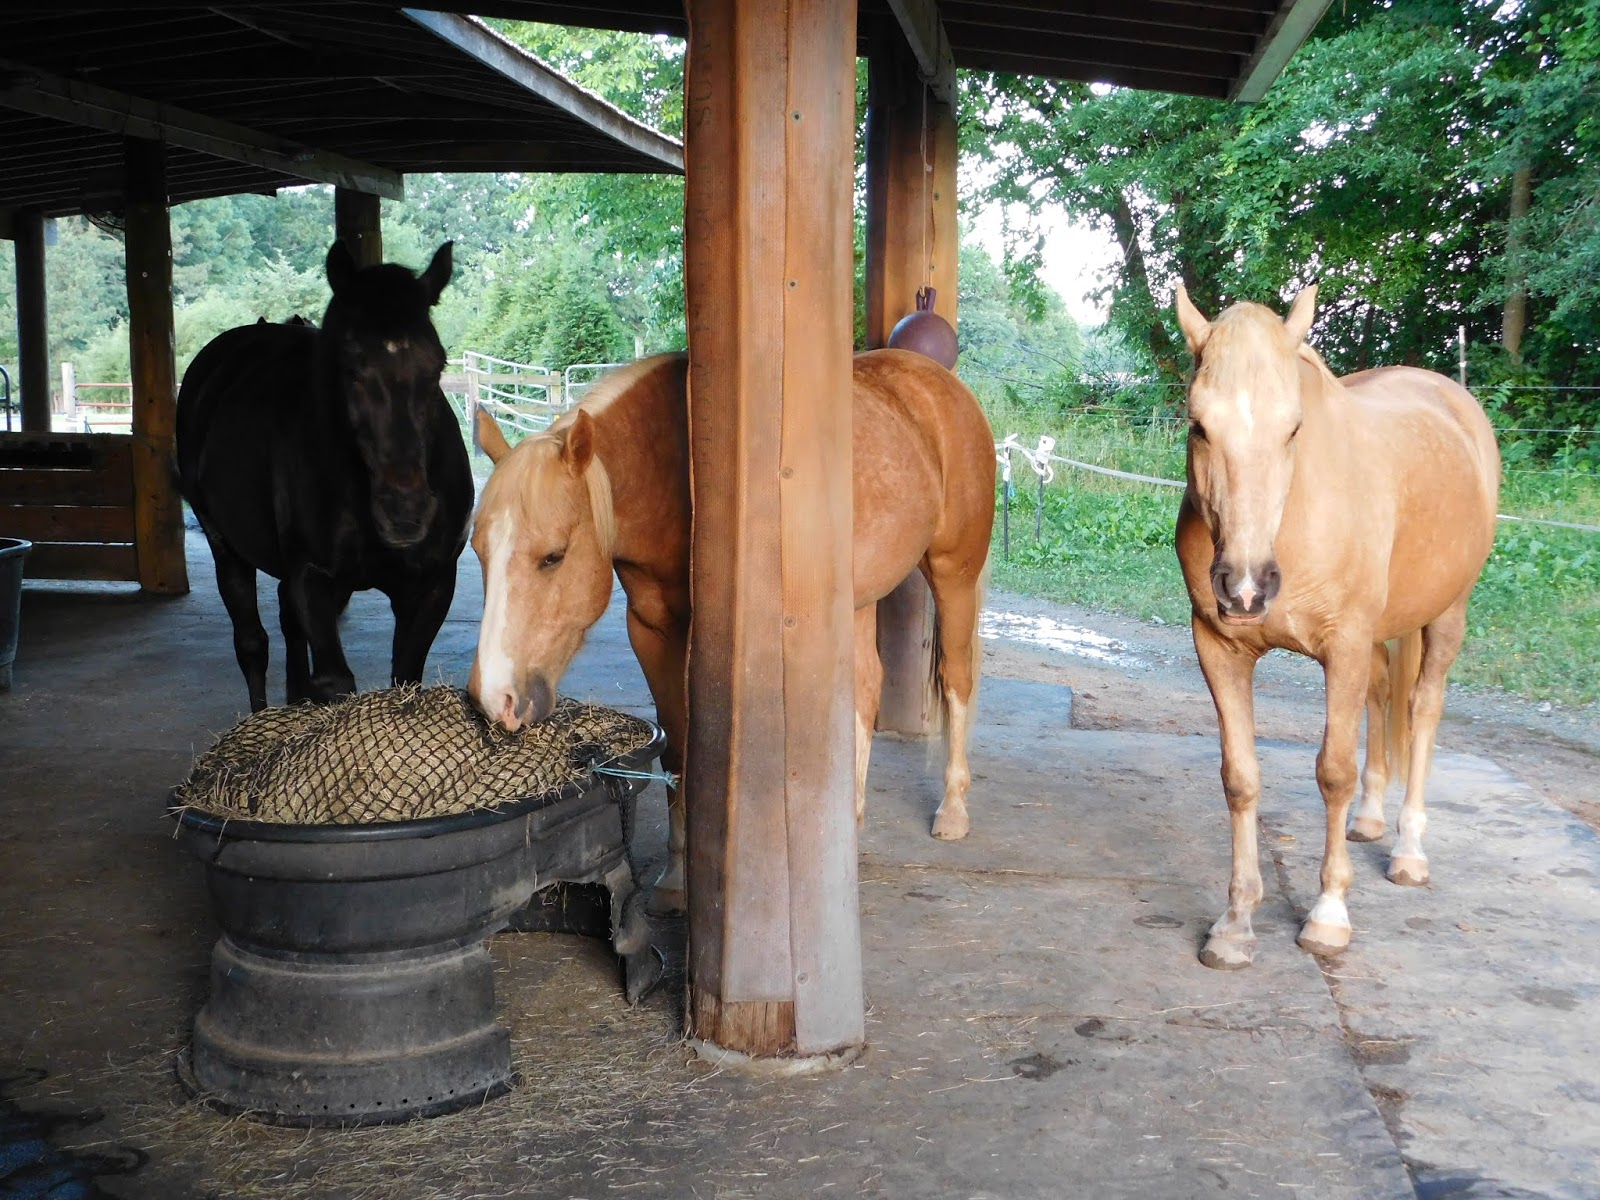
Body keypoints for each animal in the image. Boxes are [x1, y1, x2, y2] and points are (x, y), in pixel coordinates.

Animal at [177, 241, 474, 713]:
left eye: (437, 365)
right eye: (351, 367)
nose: (405, 512)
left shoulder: (431, 585)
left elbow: (404, 677)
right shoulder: (313, 580)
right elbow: (334, 681)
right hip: (225, 546)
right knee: (252, 643)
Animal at [467, 348, 996, 913]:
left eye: (554, 556)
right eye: (478, 550)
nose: (495, 699)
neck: (674, 469)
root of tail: (937, 382)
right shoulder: (652, 630)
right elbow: (674, 743)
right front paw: (676, 875)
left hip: (954, 573)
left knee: (956, 677)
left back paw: (953, 810)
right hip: (856, 596)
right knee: (867, 687)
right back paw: (849, 818)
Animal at [1173, 283, 1500, 970]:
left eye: (1293, 428)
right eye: (1199, 425)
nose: (1246, 586)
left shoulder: (1343, 647)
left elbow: (1333, 772)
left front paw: (1328, 915)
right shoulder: (1219, 647)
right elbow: (1240, 778)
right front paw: (1236, 924)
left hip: (1446, 616)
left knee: (1422, 709)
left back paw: (1408, 850)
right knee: (1382, 696)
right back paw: (1371, 819)